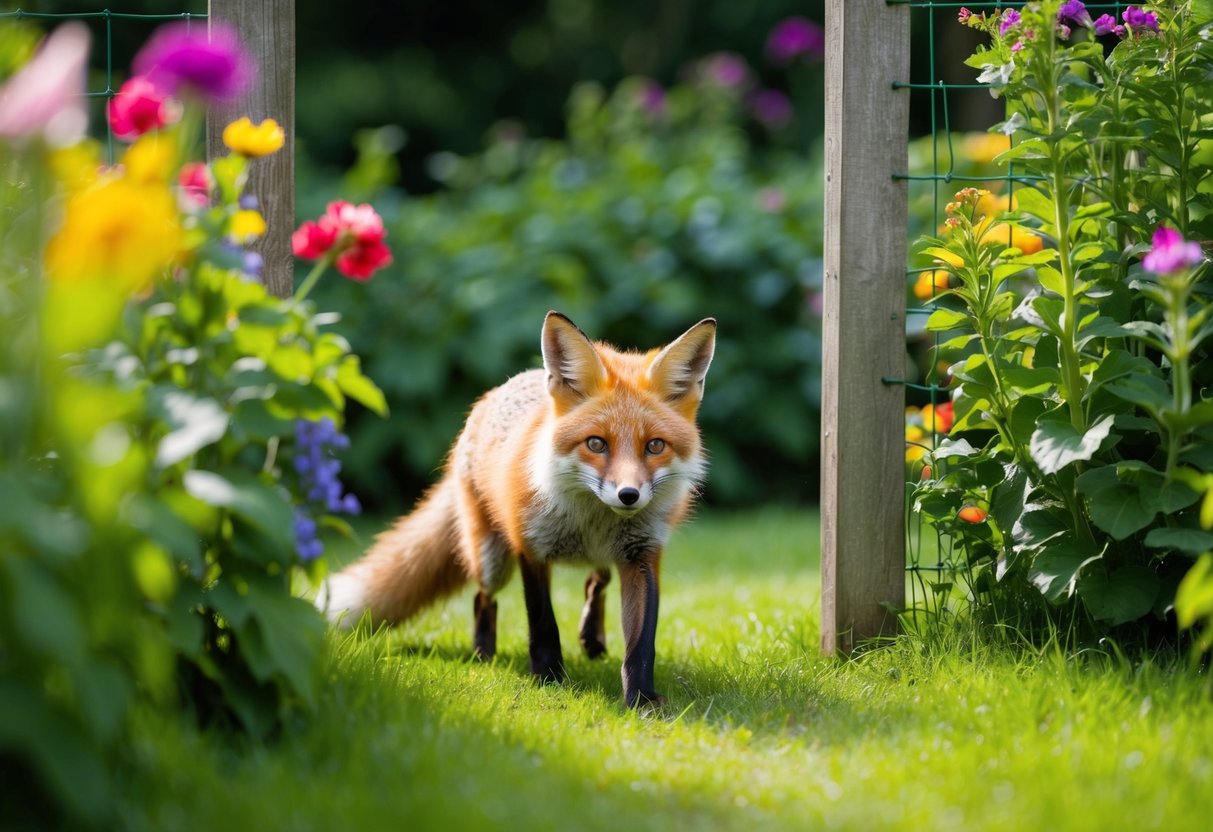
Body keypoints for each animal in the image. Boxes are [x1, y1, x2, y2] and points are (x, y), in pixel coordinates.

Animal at [317, 311, 716, 708]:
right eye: (596, 444)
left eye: (655, 446)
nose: (628, 495)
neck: (592, 523)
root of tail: (504, 387)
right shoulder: (531, 546)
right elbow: (542, 623)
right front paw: (550, 680)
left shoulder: (643, 555)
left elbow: (641, 643)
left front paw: (641, 700)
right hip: (492, 560)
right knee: (482, 597)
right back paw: (483, 653)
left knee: (597, 578)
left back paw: (592, 637)